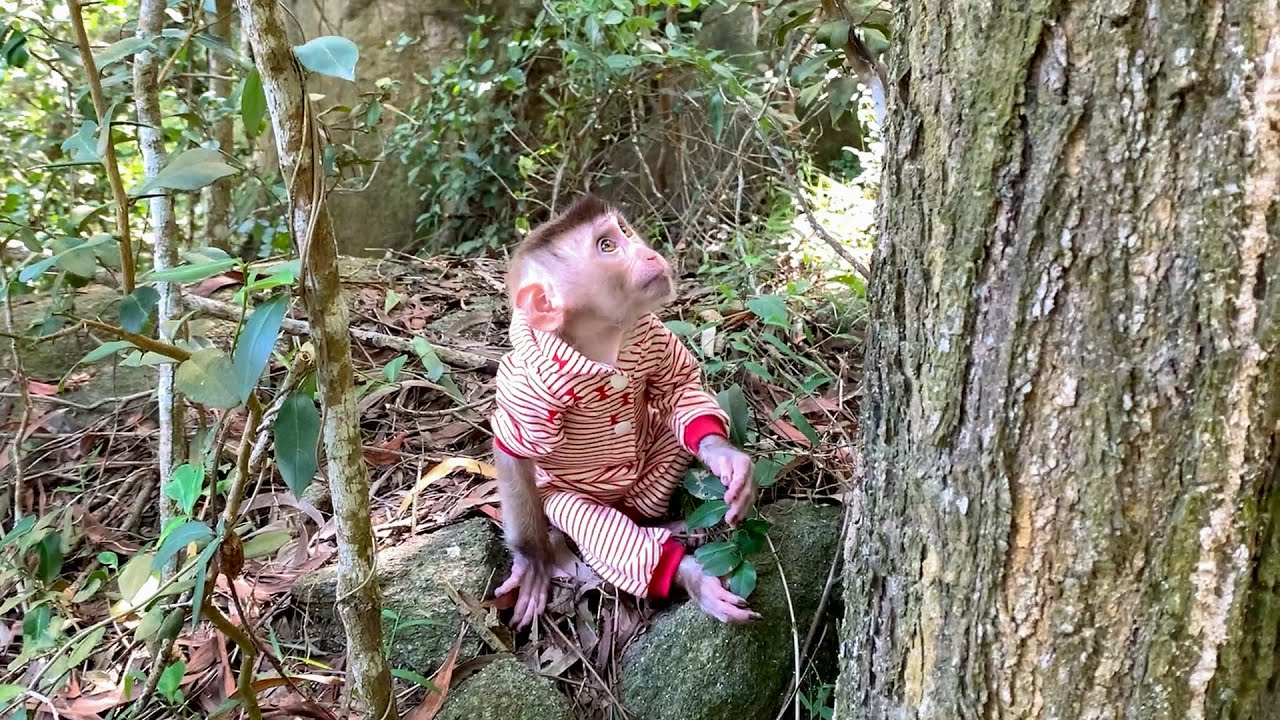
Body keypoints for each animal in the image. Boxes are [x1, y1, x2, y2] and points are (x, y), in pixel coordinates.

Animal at [491, 195, 760, 629]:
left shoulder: (649, 329)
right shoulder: (531, 389)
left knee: (672, 438)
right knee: (595, 524)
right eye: (607, 247)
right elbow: (513, 451)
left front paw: (727, 461)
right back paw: (685, 572)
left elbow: (676, 385)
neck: (598, 341)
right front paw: (531, 560)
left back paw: (666, 524)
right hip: (557, 496)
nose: (648, 253)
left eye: (626, 233)